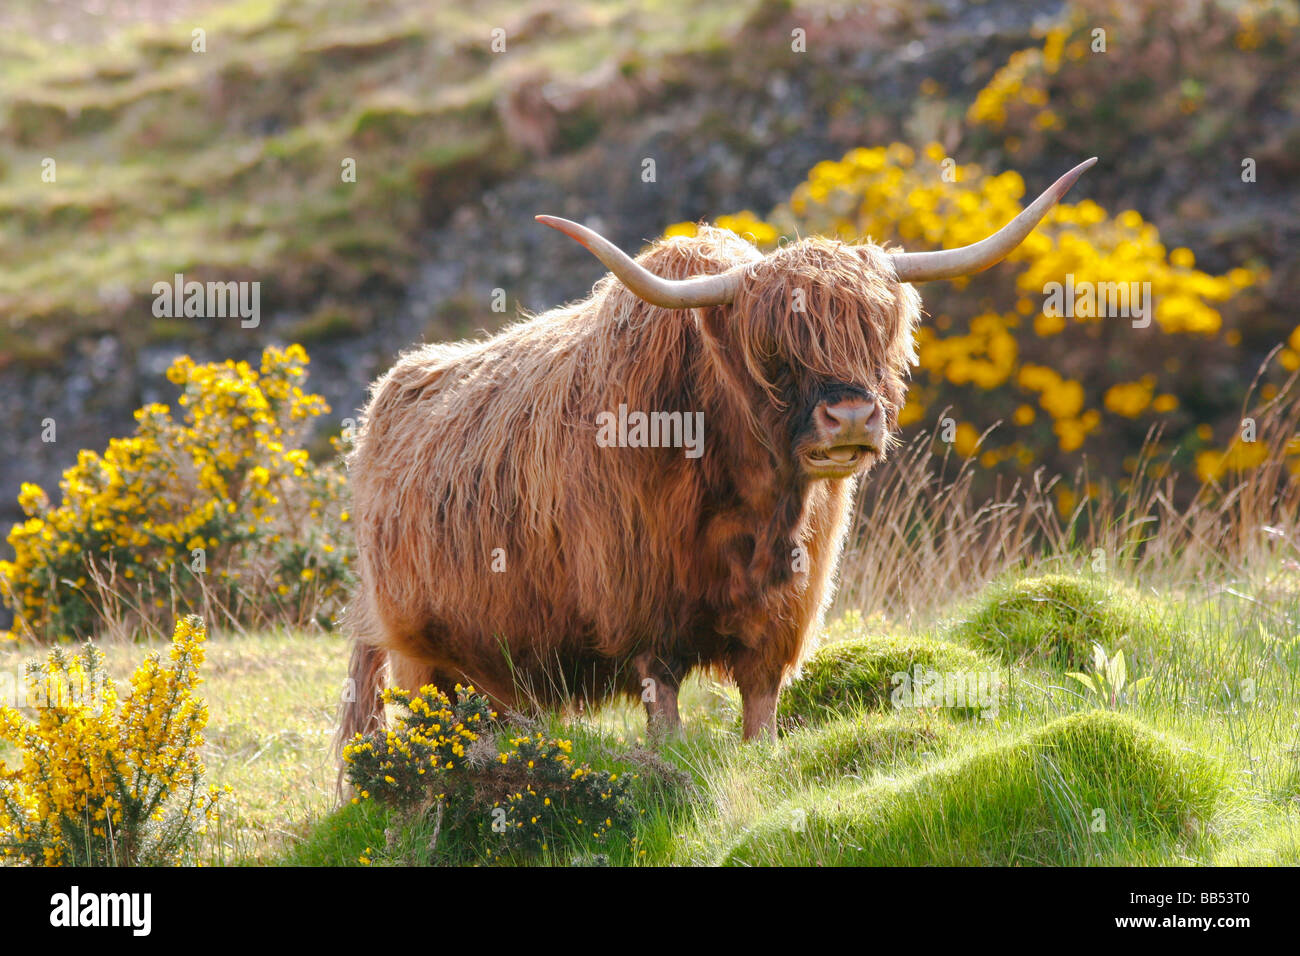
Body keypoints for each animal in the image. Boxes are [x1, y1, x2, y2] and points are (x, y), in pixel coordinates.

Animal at [336, 158, 1097, 751]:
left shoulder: (784, 611)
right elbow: (664, 701)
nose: (850, 416)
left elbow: (760, 703)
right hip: (420, 657)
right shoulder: (642, 602)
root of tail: (386, 396)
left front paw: (762, 753)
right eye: (774, 348)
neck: (749, 499)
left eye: (878, 332)